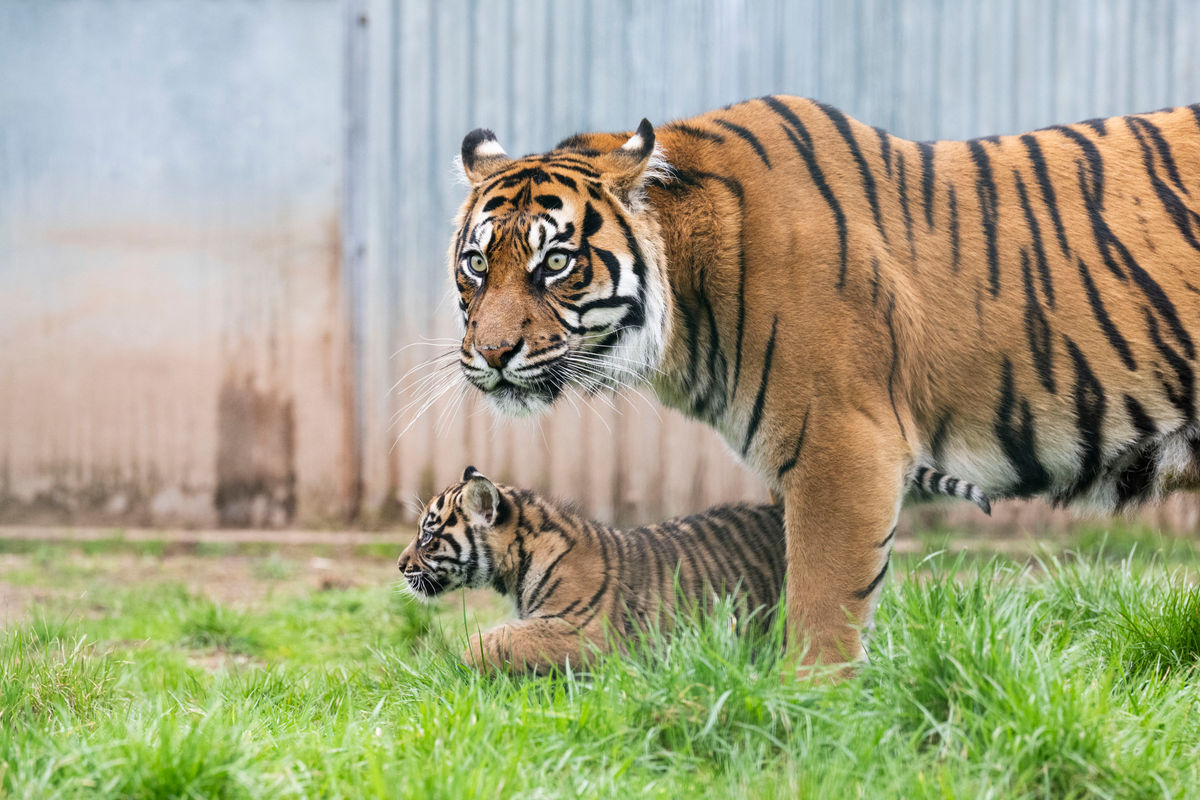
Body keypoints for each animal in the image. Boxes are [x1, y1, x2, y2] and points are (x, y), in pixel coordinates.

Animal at [397, 466, 991, 673]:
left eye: (428, 532)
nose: (401, 566)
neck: (519, 561)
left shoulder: (581, 633)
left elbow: (489, 641)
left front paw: (460, 666)